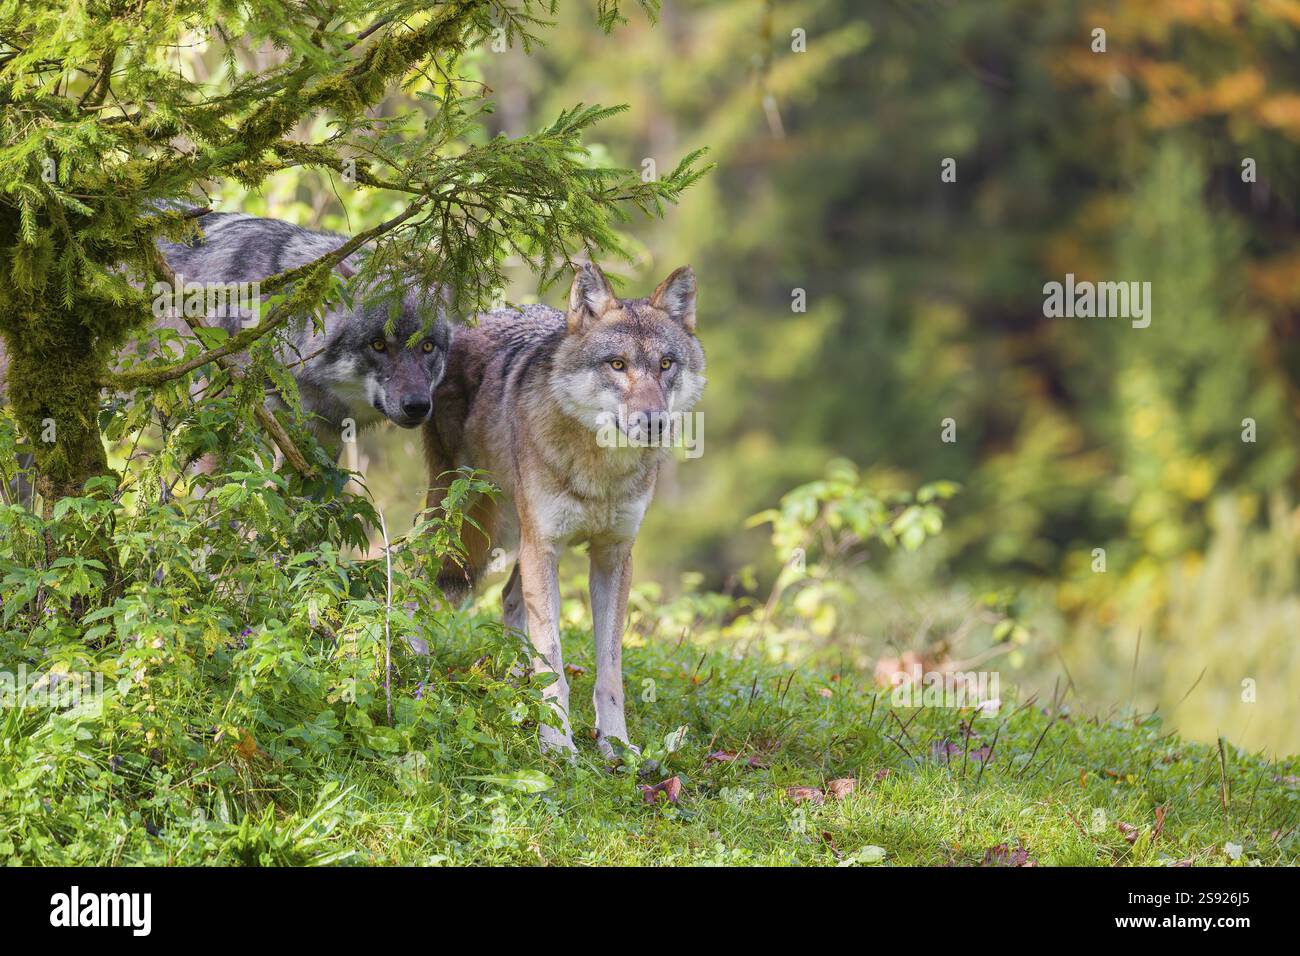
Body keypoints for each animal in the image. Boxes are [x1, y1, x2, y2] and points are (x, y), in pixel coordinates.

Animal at [422, 260, 705, 756]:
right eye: (617, 364)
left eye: (666, 364)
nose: (654, 422)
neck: (600, 473)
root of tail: (465, 324)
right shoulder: (547, 547)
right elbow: (553, 661)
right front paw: (557, 745)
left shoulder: (612, 556)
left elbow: (609, 670)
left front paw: (616, 745)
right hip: (469, 525)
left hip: (516, 536)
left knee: (509, 597)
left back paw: (515, 679)